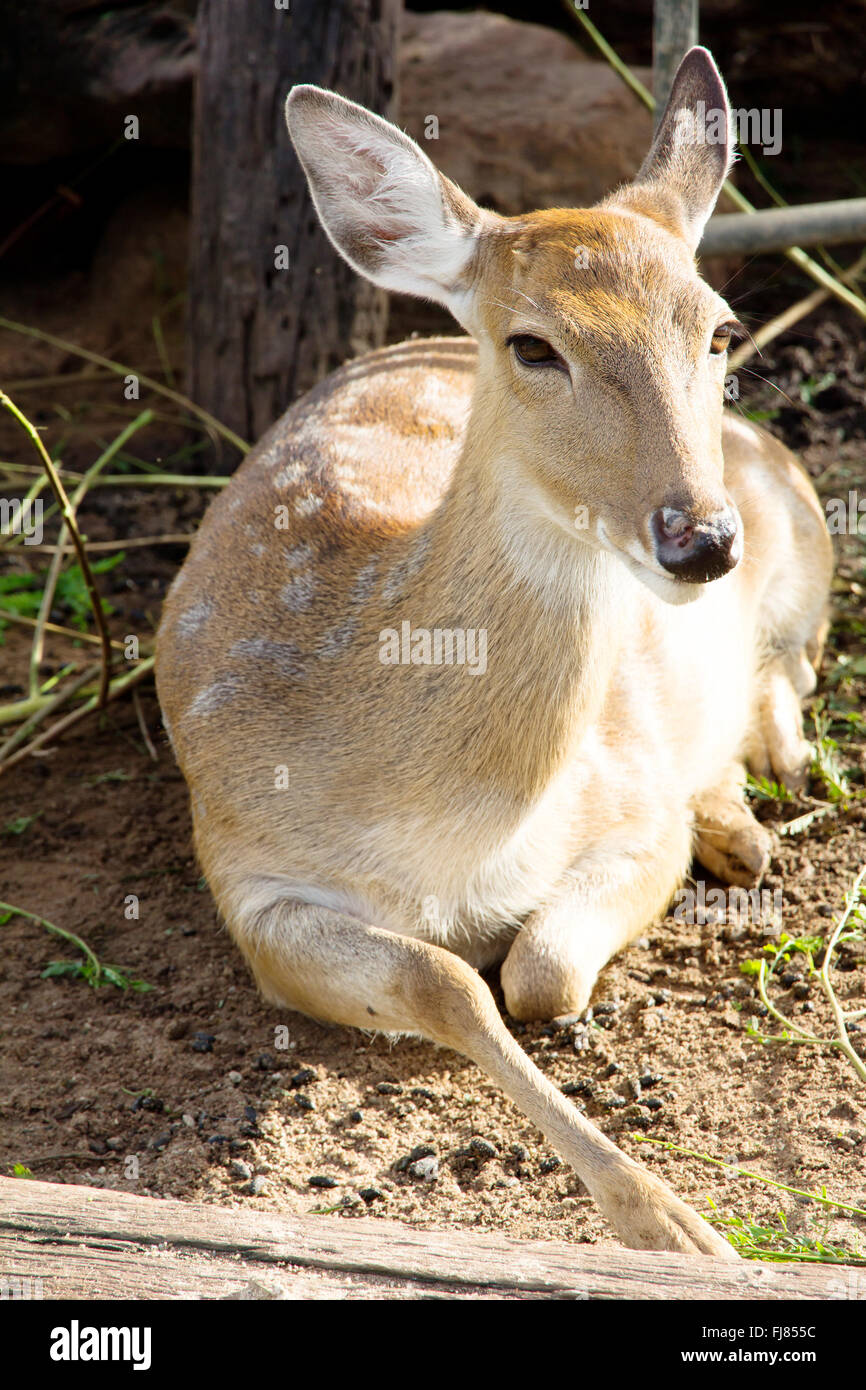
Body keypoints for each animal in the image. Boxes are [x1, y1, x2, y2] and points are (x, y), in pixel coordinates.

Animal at [155, 48, 832, 1259]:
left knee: (793, 672)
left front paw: (681, 1226)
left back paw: (748, 810)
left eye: (715, 330)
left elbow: (541, 971)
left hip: (806, 529)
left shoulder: (631, 808)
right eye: (531, 345)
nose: (699, 538)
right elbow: (451, 984)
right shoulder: (245, 875)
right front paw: (674, 1224)